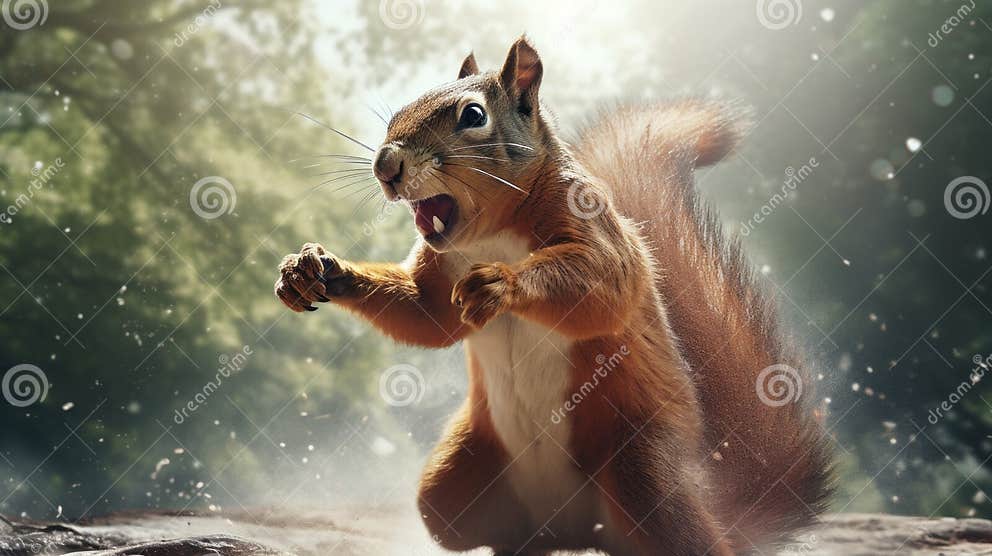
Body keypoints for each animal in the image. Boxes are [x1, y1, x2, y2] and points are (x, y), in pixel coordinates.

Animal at [275, 36, 832, 556]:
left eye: (473, 116)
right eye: (396, 112)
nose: (385, 165)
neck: (491, 233)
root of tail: (576, 531)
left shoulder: (592, 220)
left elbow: (606, 285)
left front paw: (501, 283)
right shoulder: (439, 277)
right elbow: (427, 315)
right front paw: (315, 270)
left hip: (643, 471)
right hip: (451, 487)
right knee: (498, 530)